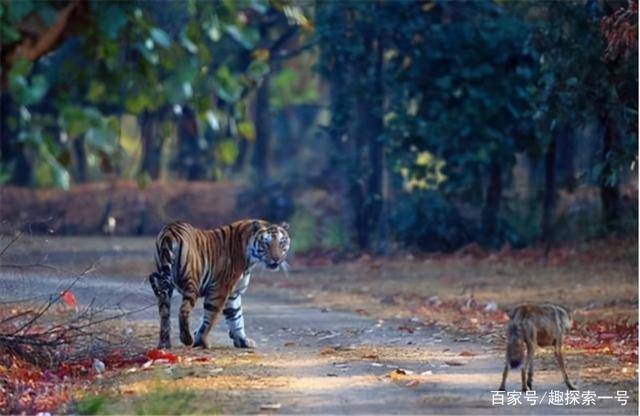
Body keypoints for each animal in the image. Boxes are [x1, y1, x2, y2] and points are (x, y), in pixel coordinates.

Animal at [148, 219, 291, 349]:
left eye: (281, 243)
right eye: (266, 244)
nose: (277, 259)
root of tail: (169, 232)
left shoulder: (233, 293)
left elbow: (236, 317)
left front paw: (243, 341)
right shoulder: (219, 289)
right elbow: (210, 318)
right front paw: (202, 341)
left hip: (165, 287)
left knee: (164, 313)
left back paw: (164, 344)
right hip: (192, 283)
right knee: (183, 310)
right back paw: (187, 339)